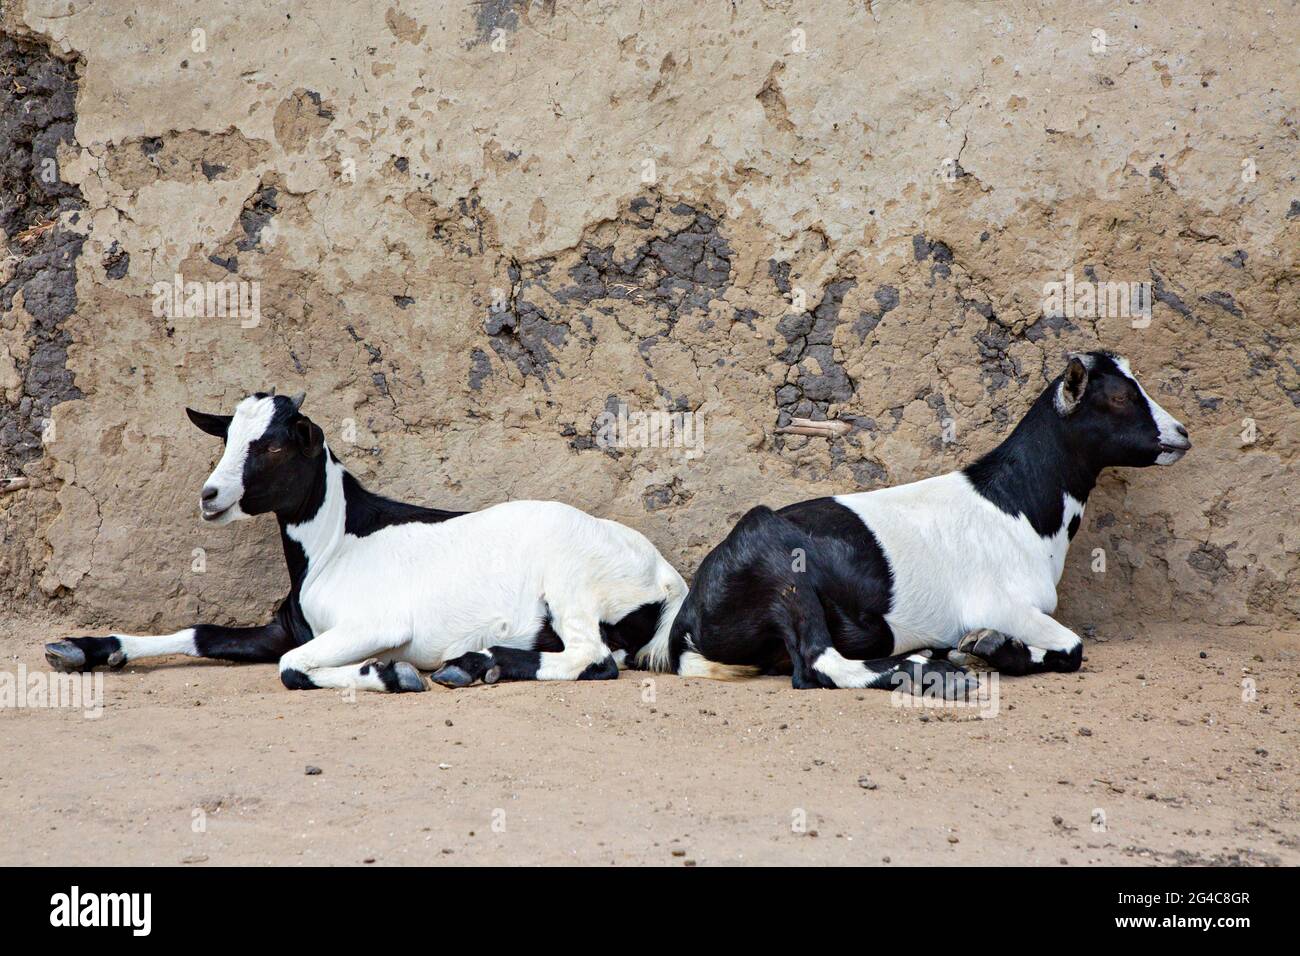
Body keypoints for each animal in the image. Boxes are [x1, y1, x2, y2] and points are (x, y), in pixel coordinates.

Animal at [44, 395, 686, 697]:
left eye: (273, 445)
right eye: (226, 438)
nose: (210, 496)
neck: (334, 544)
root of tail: (665, 578)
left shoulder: (375, 624)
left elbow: (291, 668)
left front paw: (390, 675)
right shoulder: (286, 626)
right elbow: (200, 632)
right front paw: (84, 648)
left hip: (571, 584)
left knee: (594, 658)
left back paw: (475, 663)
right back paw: (473, 663)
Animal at [634, 351, 1190, 686]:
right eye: (1119, 397)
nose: (1181, 434)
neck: (1016, 507)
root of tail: (687, 618)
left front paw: (983, 648)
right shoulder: (1001, 602)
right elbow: (1073, 647)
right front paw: (988, 647)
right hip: (781, 567)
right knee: (818, 664)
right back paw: (923, 664)